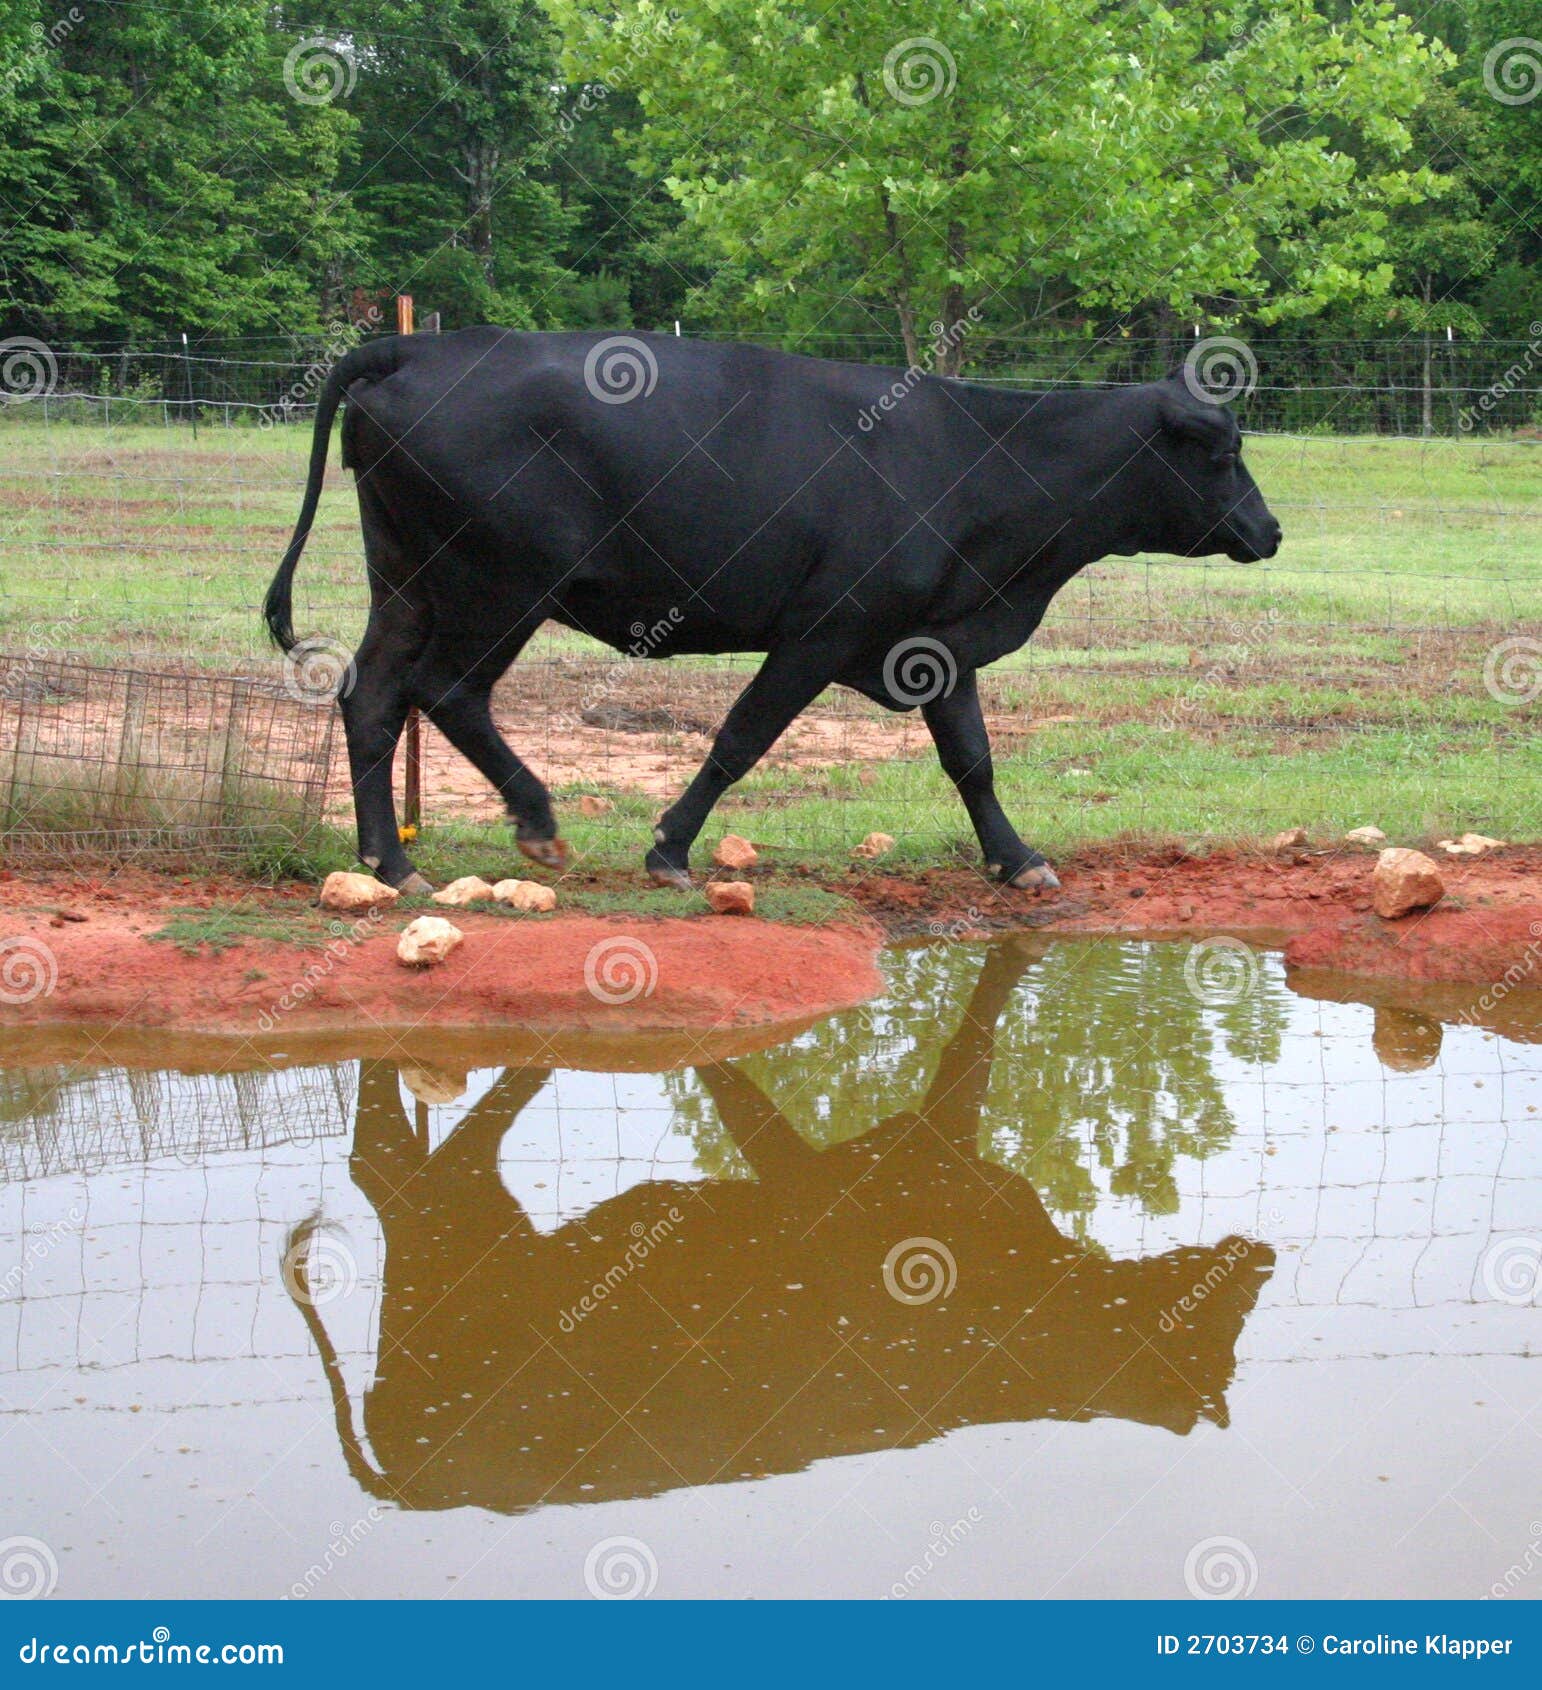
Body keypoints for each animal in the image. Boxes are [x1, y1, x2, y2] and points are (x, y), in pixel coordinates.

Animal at [265, 330, 1282, 893]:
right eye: (1225, 452)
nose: (1270, 529)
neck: (979, 459)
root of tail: (423, 346)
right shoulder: (823, 630)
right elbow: (741, 737)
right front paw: (670, 847)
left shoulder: (931, 640)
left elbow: (973, 761)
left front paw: (1016, 856)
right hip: (500, 586)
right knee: (447, 691)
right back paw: (535, 822)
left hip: (406, 580)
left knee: (373, 696)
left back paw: (391, 863)